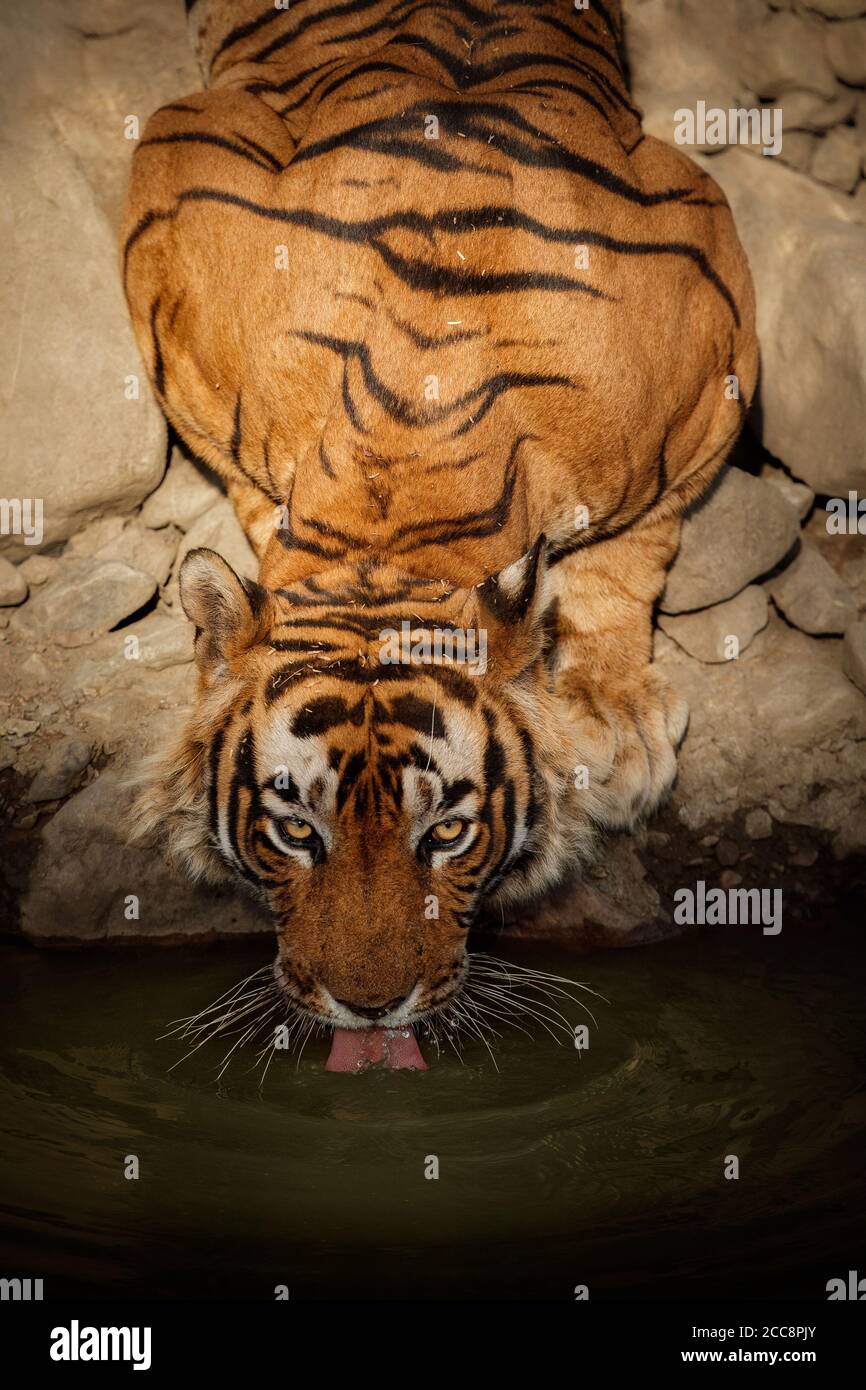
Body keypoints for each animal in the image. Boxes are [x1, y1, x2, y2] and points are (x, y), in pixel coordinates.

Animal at [121, 0, 757, 1049]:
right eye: (296, 830)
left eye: (447, 833)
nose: (371, 1009)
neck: (403, 494)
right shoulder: (179, 180)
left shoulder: (716, 335)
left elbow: (636, 548)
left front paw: (613, 715)